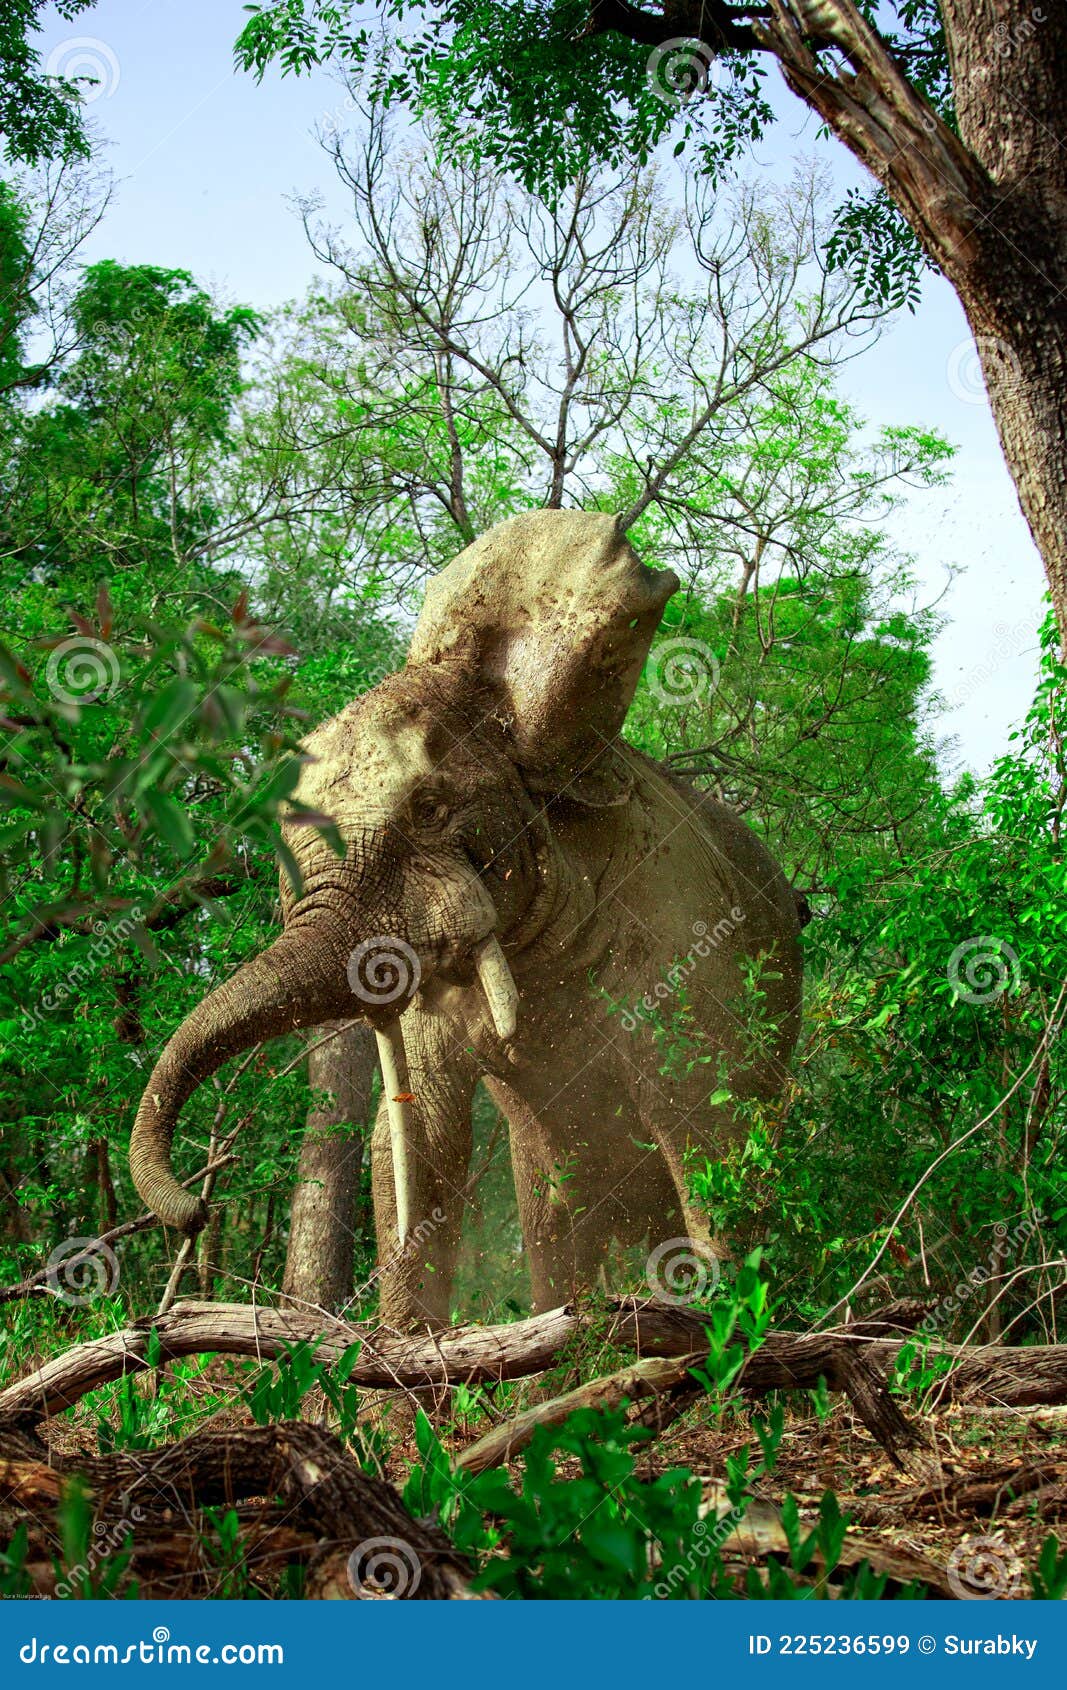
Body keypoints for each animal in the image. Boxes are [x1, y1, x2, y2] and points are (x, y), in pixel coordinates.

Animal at [129, 510, 802, 1328]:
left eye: (428, 808)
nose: (195, 1210)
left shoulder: (686, 931)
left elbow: (708, 1129)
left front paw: (724, 1347)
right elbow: (418, 1143)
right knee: (552, 1200)